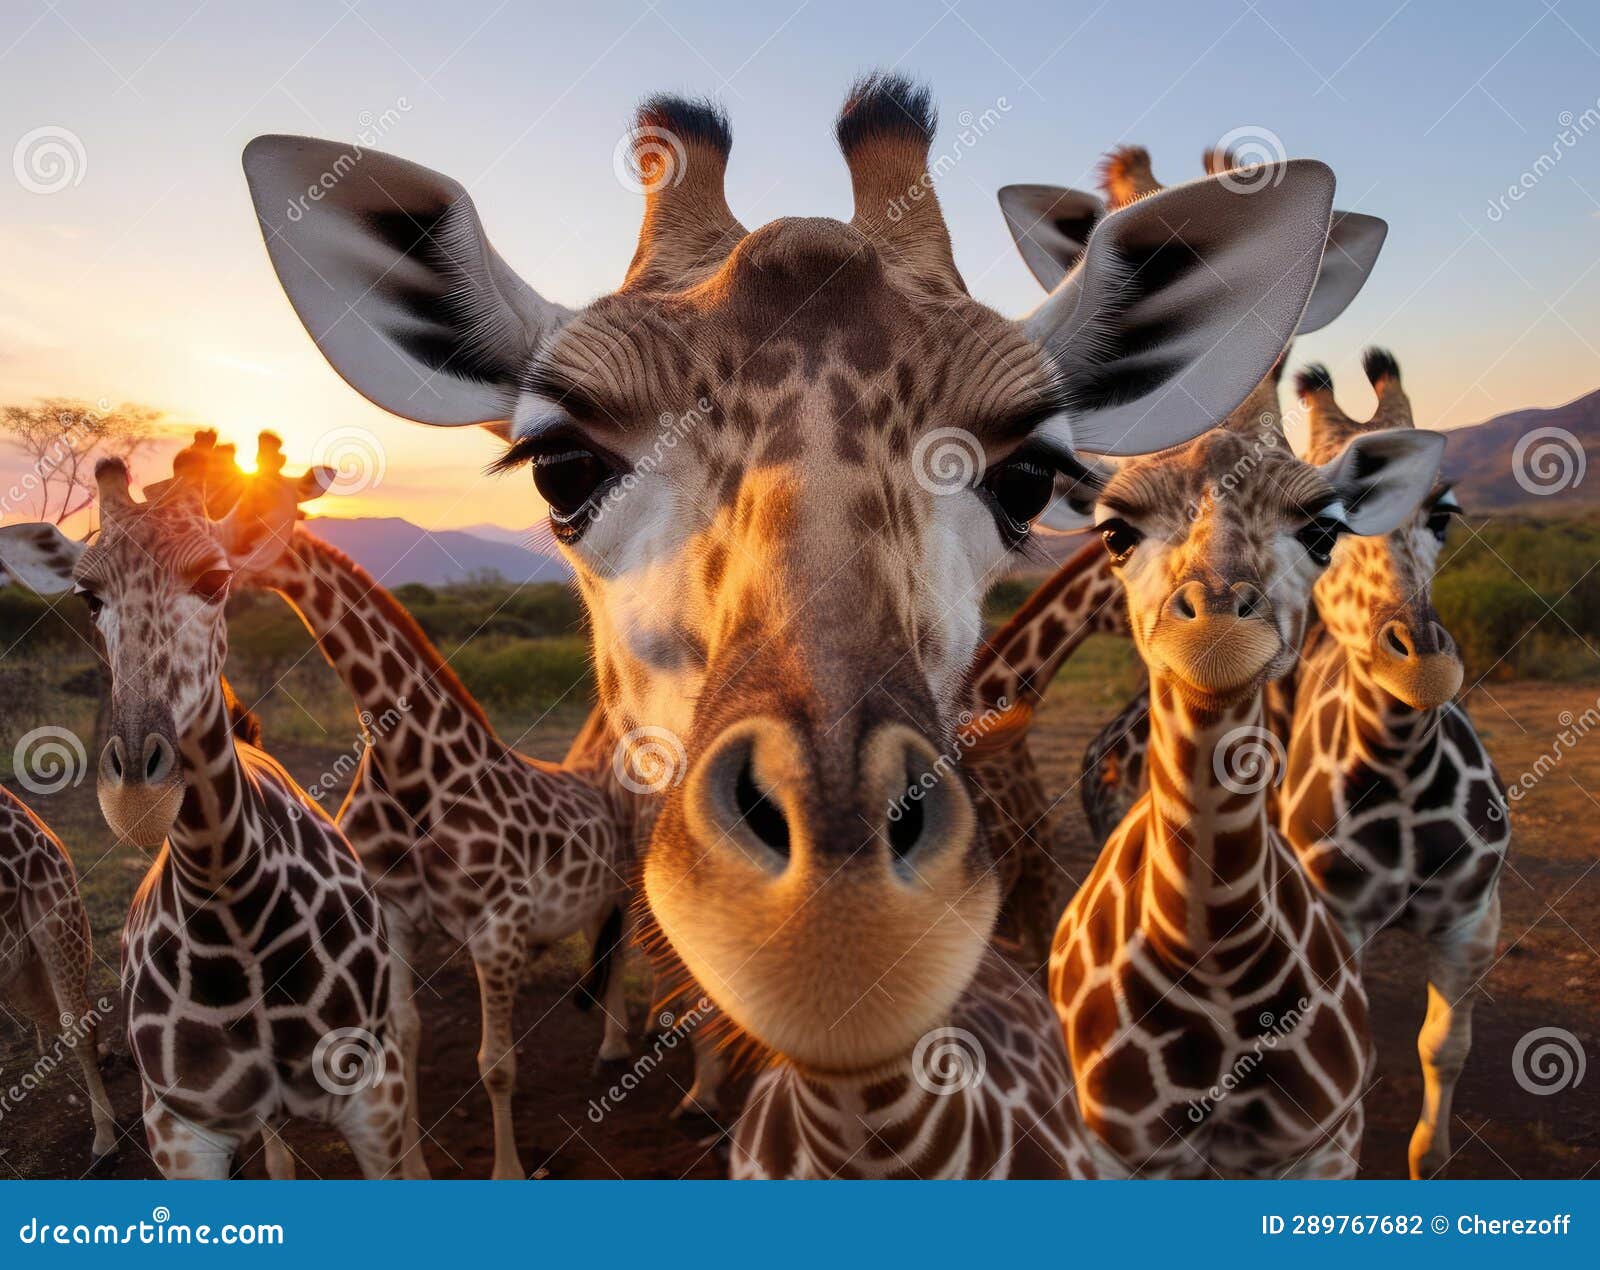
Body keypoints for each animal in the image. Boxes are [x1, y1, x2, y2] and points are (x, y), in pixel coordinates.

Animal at [1048, 416, 1445, 1177]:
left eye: (1322, 531)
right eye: (1115, 533)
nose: (1217, 631)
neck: (1215, 960)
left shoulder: (1326, 1142)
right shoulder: (1115, 1151)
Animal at [1282, 351, 1508, 1178]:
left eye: (1444, 515)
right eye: (1318, 528)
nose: (1423, 668)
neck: (1403, 763)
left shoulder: (1473, 918)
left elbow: (1443, 1047)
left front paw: (1426, 1157)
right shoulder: (1333, 928)